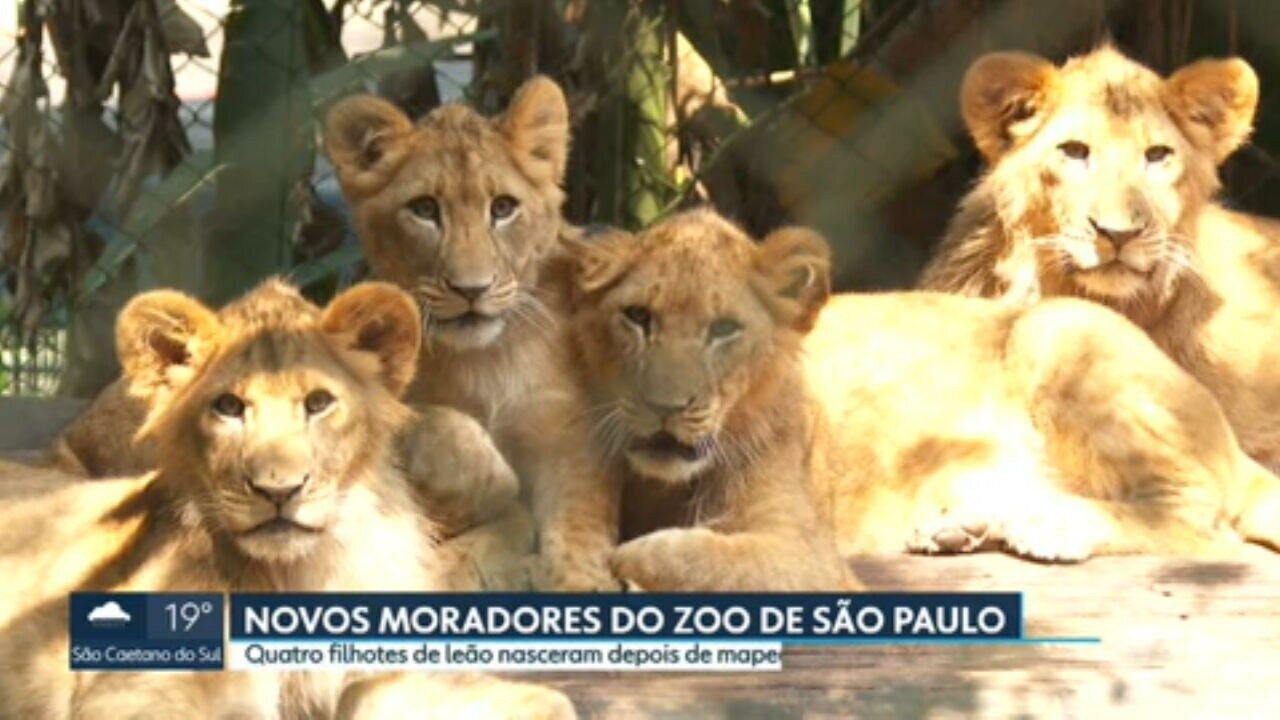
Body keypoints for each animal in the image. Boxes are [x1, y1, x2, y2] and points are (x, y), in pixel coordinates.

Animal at [0, 280, 574, 719]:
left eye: (318, 403)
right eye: (229, 407)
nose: (279, 491)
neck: (301, 575)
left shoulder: (370, 669)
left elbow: (542, 702)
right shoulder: (133, 697)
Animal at [322, 77, 617, 589]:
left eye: (503, 208)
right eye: (424, 209)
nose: (471, 289)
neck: (486, 359)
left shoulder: (569, 438)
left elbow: (578, 528)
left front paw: (579, 579)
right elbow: (426, 421)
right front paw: (485, 471)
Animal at [566, 209, 1280, 591]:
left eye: (724, 330)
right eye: (637, 318)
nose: (665, 405)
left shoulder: (807, 554)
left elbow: (697, 555)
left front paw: (629, 562)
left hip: (1059, 326)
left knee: (1205, 524)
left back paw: (1048, 526)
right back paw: (965, 524)